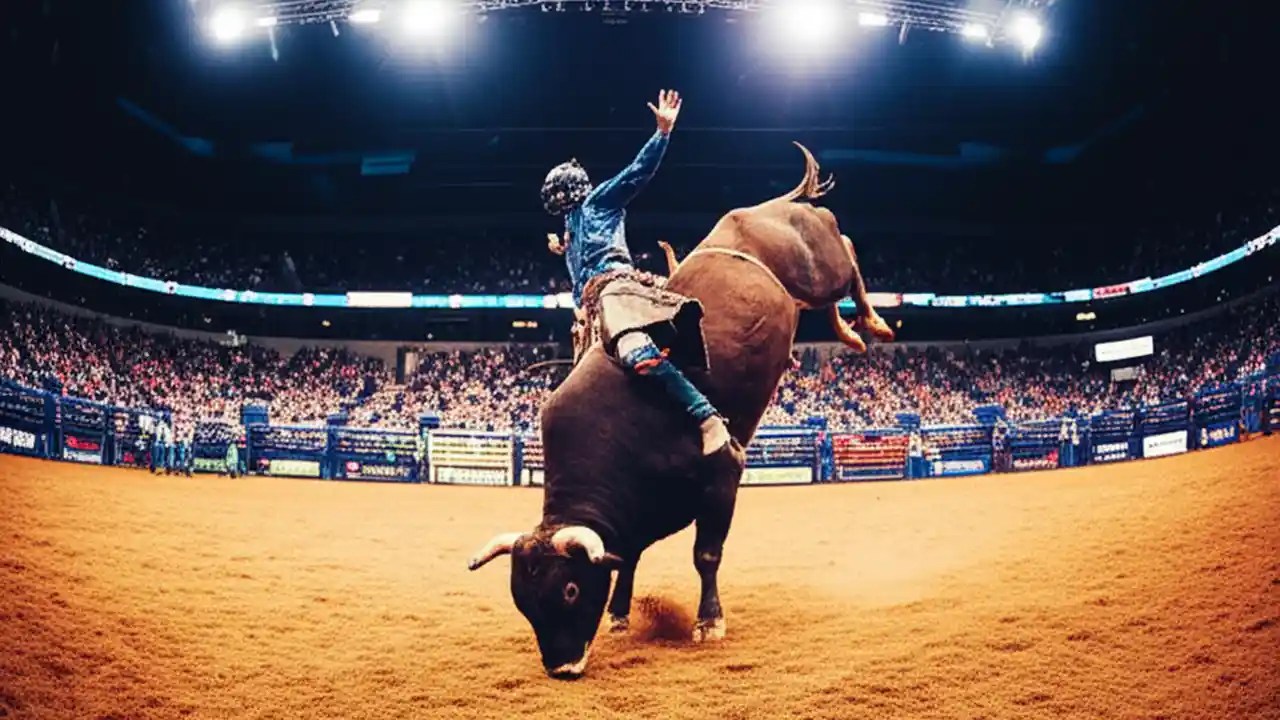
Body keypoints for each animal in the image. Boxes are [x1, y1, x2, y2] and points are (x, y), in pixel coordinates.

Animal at [467, 143, 893, 678]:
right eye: (521, 599)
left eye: (568, 589)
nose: (561, 667)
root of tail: (767, 207)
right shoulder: (636, 518)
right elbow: (624, 558)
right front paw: (620, 615)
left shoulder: (722, 478)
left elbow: (705, 554)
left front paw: (708, 623)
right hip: (805, 291)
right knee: (831, 288)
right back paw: (850, 331)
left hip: (820, 264)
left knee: (848, 248)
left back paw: (873, 321)